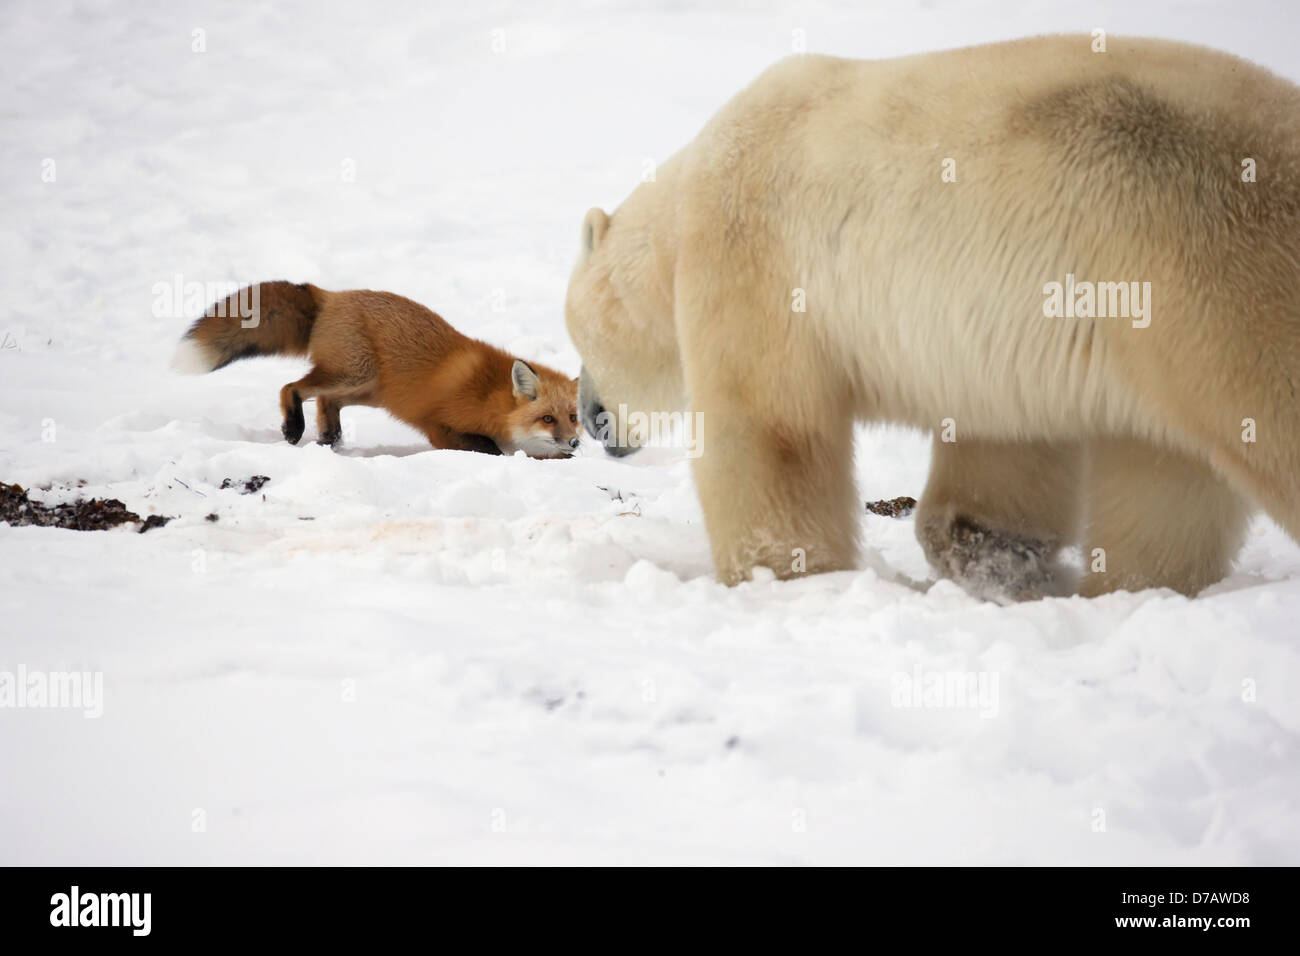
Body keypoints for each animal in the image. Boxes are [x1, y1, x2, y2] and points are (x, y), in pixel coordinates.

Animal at [170, 281, 580, 458]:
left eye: (573, 417)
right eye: (547, 418)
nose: (576, 440)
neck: (490, 397)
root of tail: (330, 295)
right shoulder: (438, 426)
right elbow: (488, 448)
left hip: (370, 390)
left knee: (326, 402)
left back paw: (329, 438)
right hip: (356, 375)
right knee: (292, 387)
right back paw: (294, 427)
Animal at [563, 34, 1300, 600]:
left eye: (578, 335)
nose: (589, 417)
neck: (682, 210)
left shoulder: (752, 255)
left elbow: (767, 429)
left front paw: (781, 579)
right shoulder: (1002, 334)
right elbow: (1006, 444)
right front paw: (1002, 560)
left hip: (1218, 280)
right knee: (1171, 470)